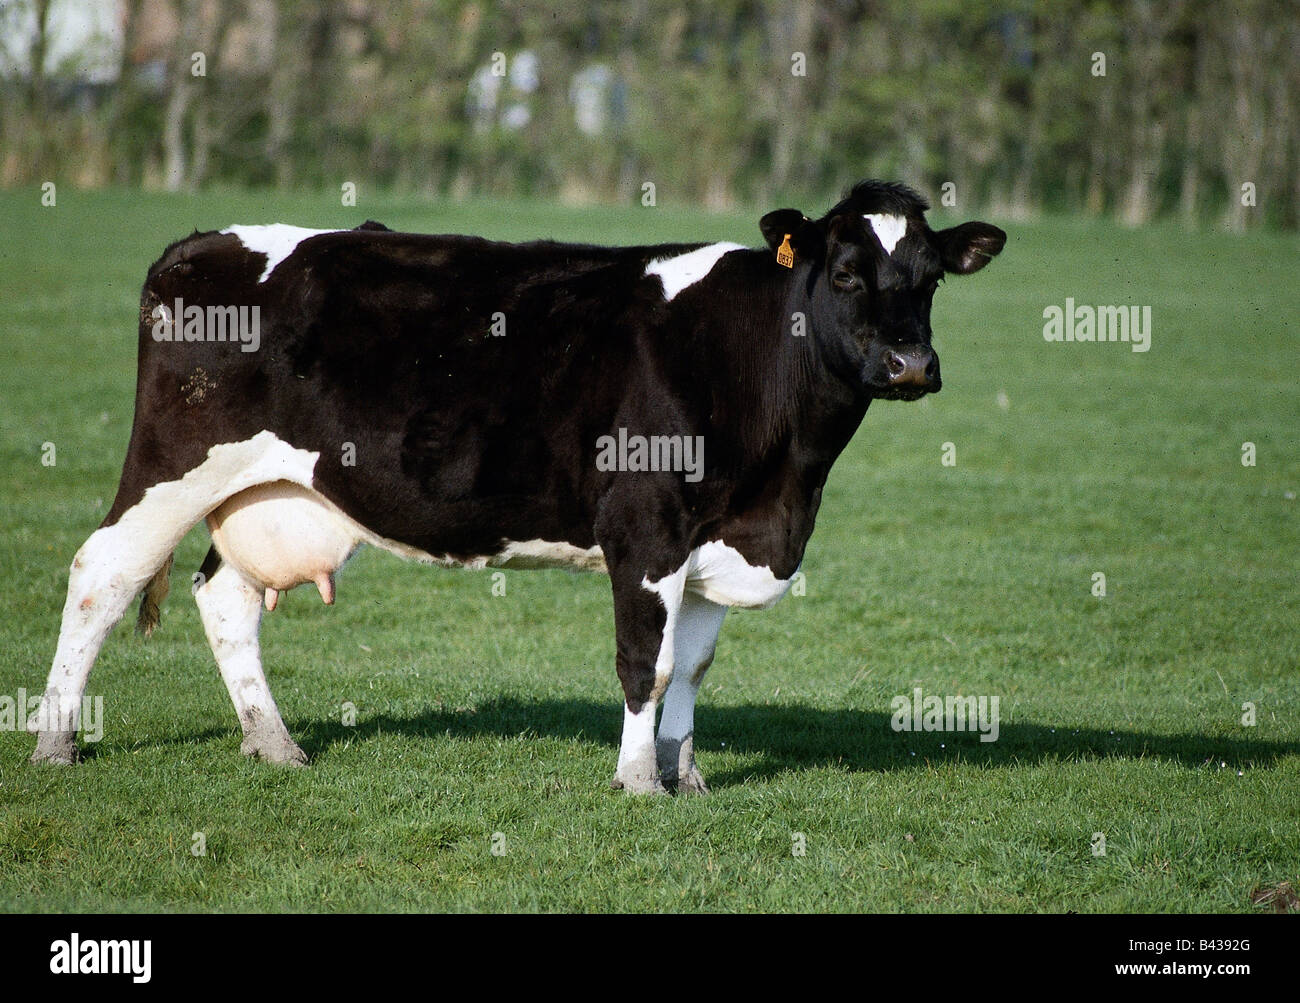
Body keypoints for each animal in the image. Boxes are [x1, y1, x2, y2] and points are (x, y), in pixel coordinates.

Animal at [29, 181, 1005, 794]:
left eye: (929, 279)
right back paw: (55, 743)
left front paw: (687, 774)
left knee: (224, 595)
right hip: (173, 465)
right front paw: (637, 781)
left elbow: (693, 663)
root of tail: (199, 243)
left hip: (271, 488)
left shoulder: (718, 537)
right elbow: (644, 661)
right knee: (102, 573)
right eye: (844, 272)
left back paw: (275, 744)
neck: (787, 481)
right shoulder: (646, 529)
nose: (911, 363)